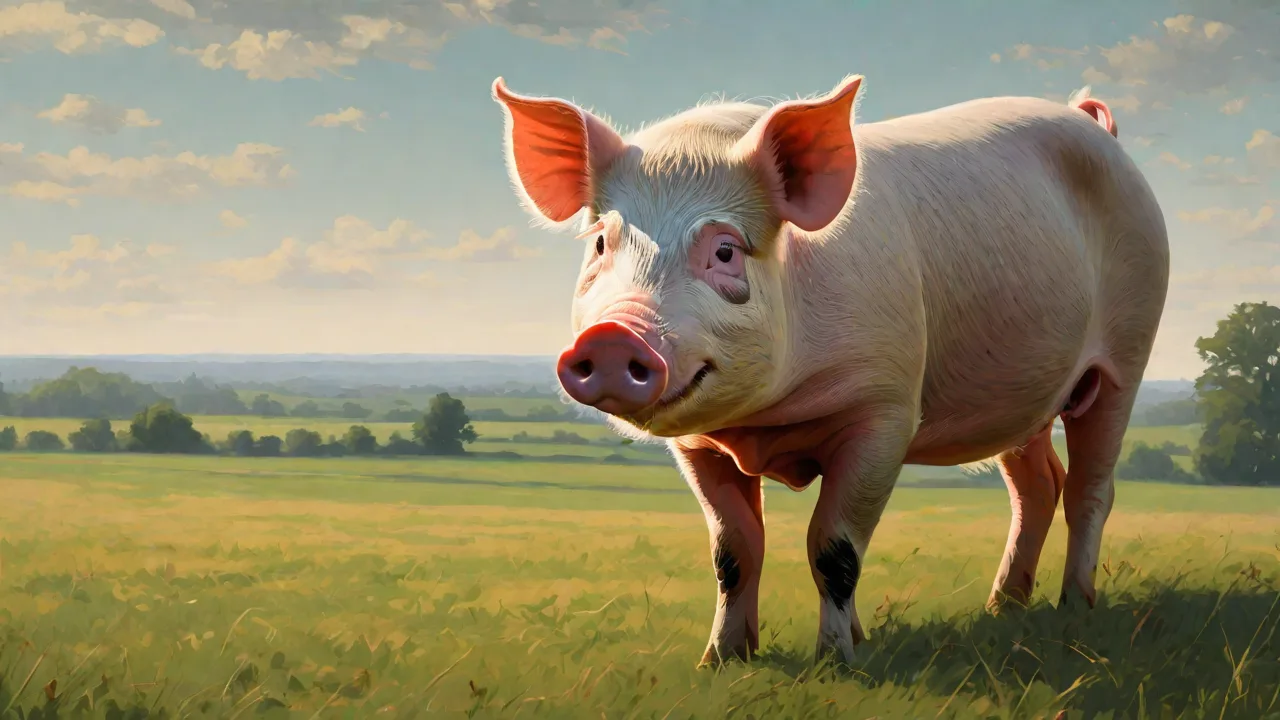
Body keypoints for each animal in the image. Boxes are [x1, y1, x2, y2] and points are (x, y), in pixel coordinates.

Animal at [491, 74, 1169, 667]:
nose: (612, 335)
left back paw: (1074, 608)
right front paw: (720, 661)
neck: (763, 424)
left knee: (1091, 487)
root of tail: (1091, 123)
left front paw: (838, 662)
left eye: (726, 250)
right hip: (1018, 394)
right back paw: (1002, 609)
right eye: (601, 244)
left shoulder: (886, 410)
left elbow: (834, 548)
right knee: (1037, 486)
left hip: (1129, 349)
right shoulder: (696, 444)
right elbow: (733, 550)